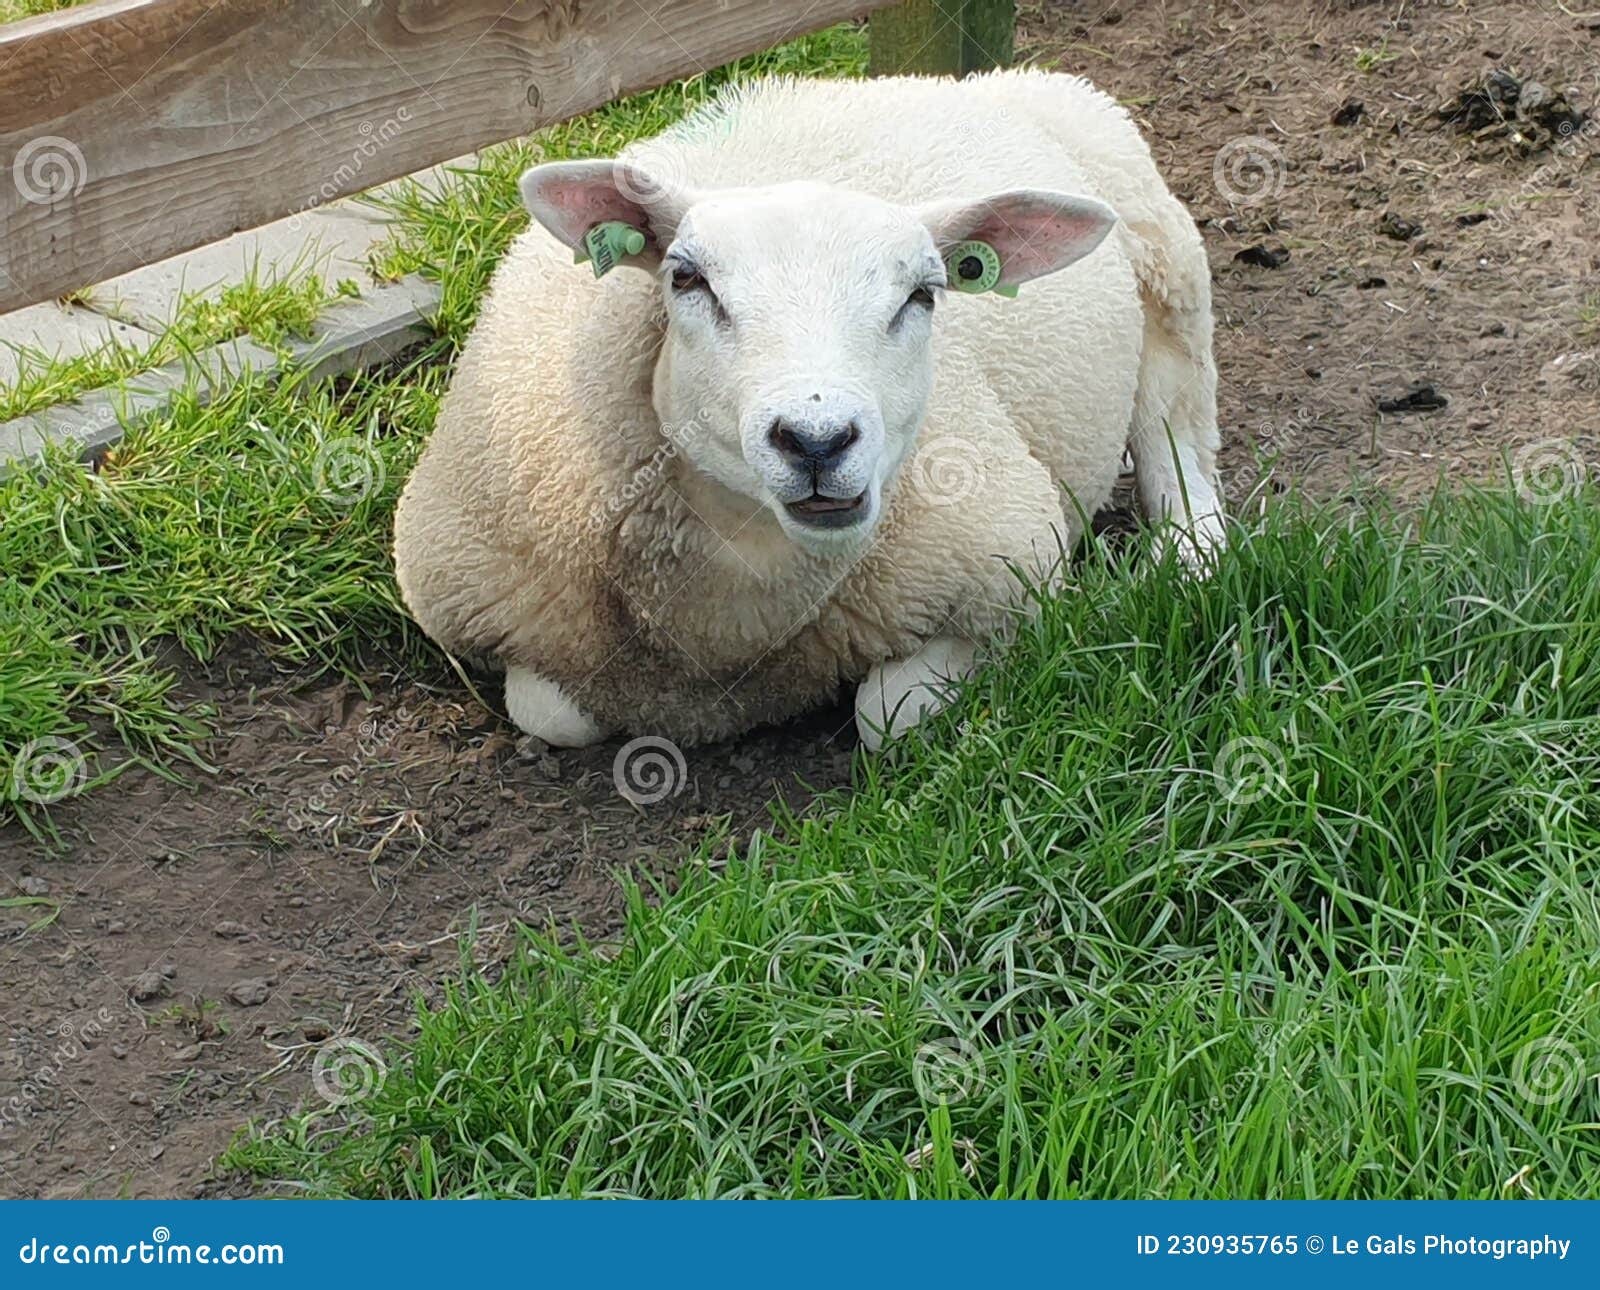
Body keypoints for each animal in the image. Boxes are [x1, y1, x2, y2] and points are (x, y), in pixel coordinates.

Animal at [392, 68, 1224, 751]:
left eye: (924, 294)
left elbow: (887, 714)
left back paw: (1191, 552)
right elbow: (552, 715)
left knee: (1177, 421)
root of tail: (942, 80)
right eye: (686, 280)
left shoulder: (1014, 567)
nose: (817, 440)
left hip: (1166, 261)